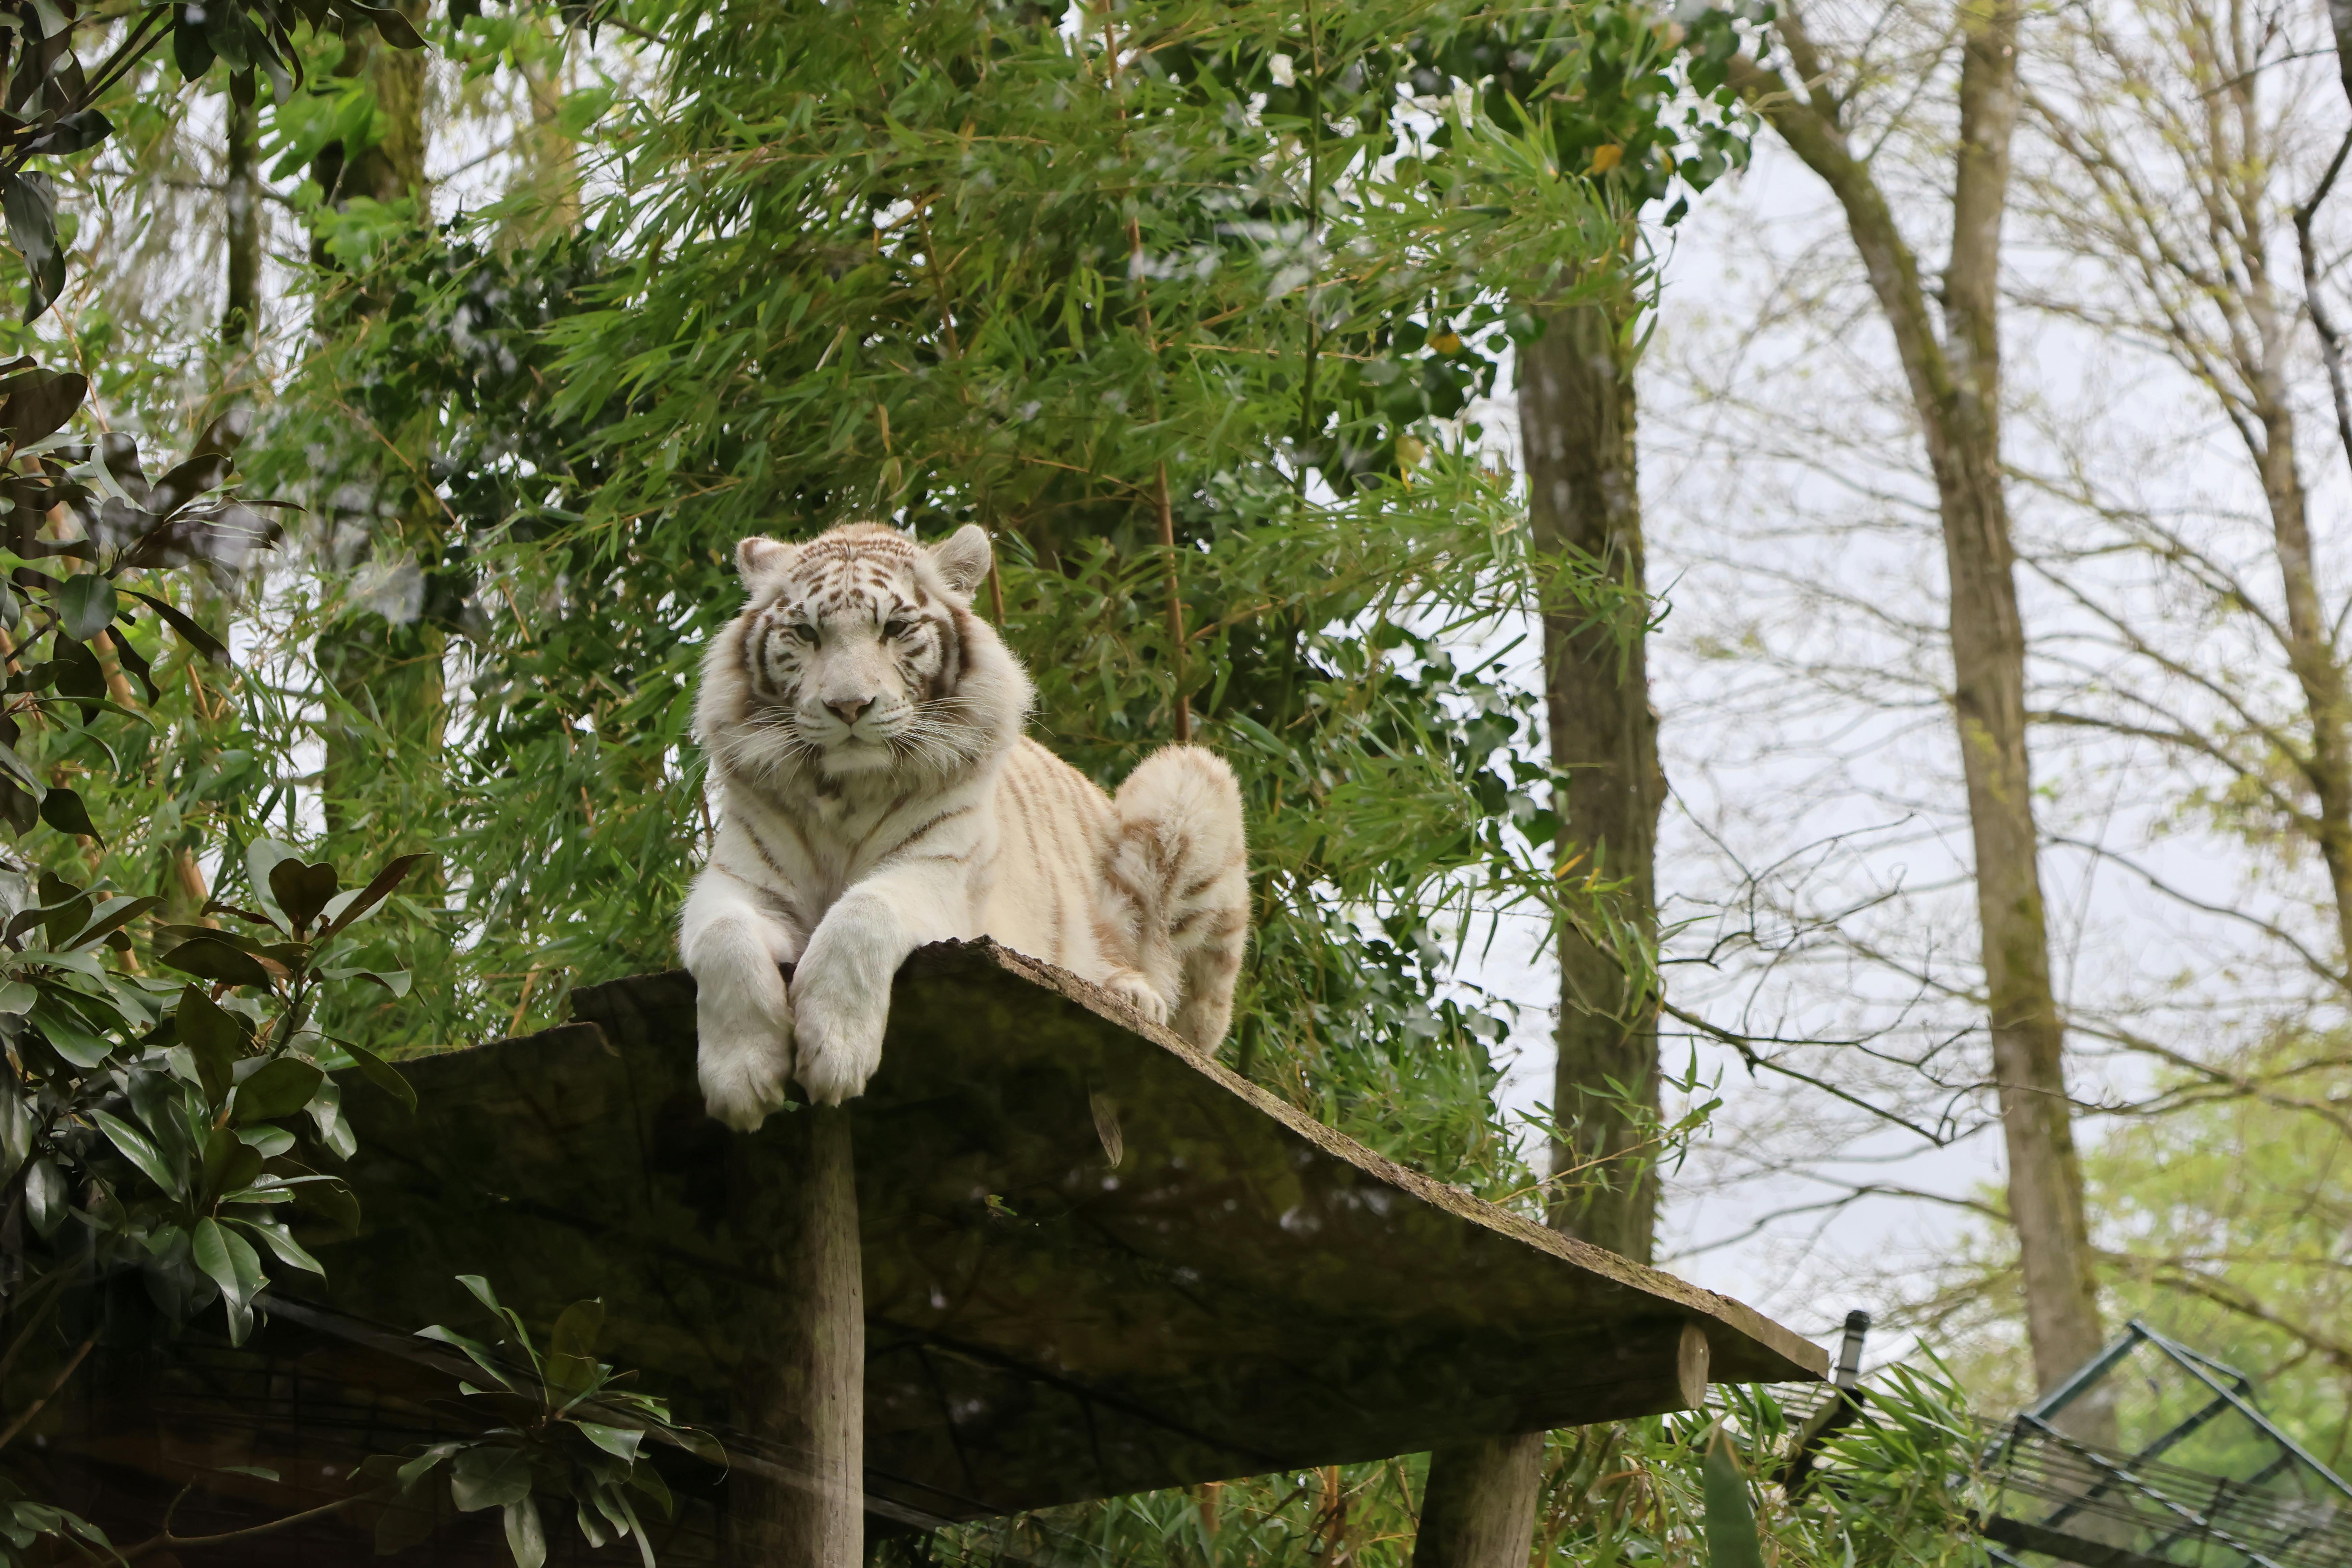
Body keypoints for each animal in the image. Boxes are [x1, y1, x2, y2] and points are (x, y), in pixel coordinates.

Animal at [681, 520, 1251, 1129]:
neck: (848, 793)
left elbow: (862, 912)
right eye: (807, 633)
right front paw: (741, 1079)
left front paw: (834, 1053)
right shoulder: (741, 882)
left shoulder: (939, 871)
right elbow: (725, 939)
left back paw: (1136, 996)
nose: (849, 706)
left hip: (1189, 779)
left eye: (895, 628)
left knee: (1191, 1019)